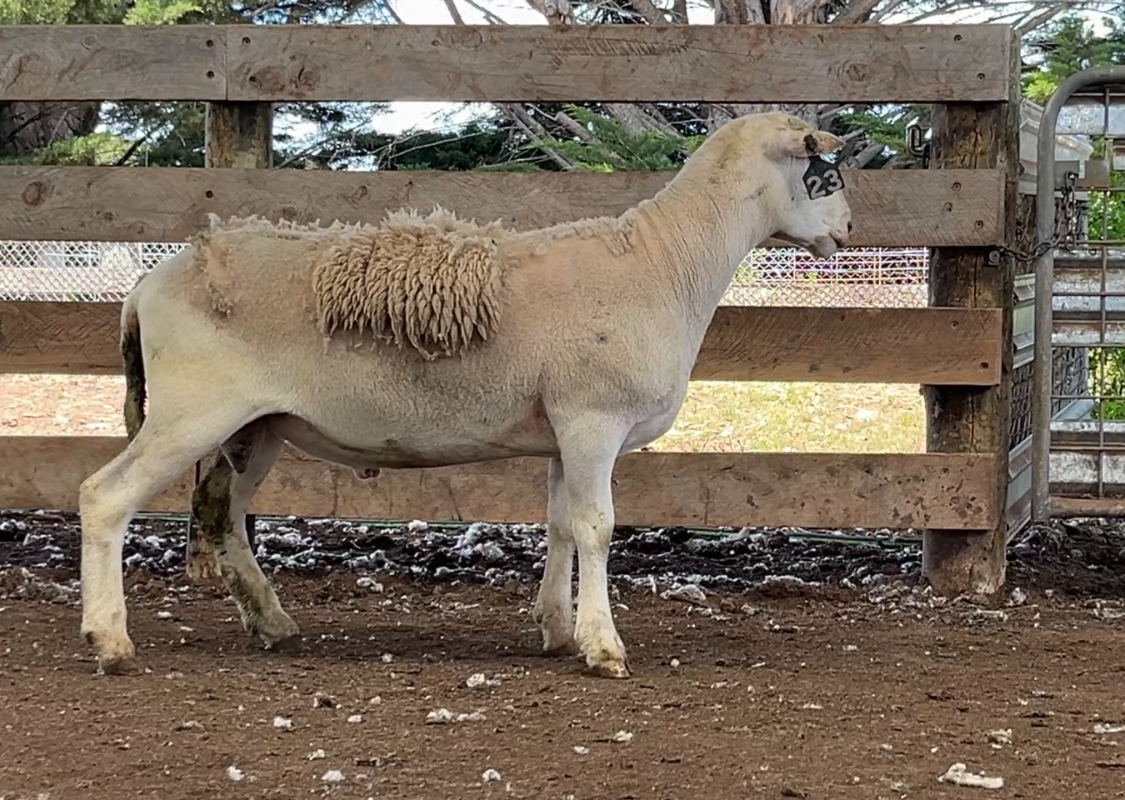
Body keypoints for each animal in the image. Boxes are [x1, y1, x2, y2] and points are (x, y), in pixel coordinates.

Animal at [79, 111, 852, 680]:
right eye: (824, 174)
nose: (849, 231)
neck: (667, 261)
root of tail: (148, 284)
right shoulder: (593, 420)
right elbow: (597, 527)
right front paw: (603, 647)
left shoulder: (563, 429)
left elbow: (559, 524)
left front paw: (556, 629)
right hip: (192, 411)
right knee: (105, 497)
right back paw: (110, 641)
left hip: (255, 425)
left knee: (221, 514)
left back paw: (272, 623)